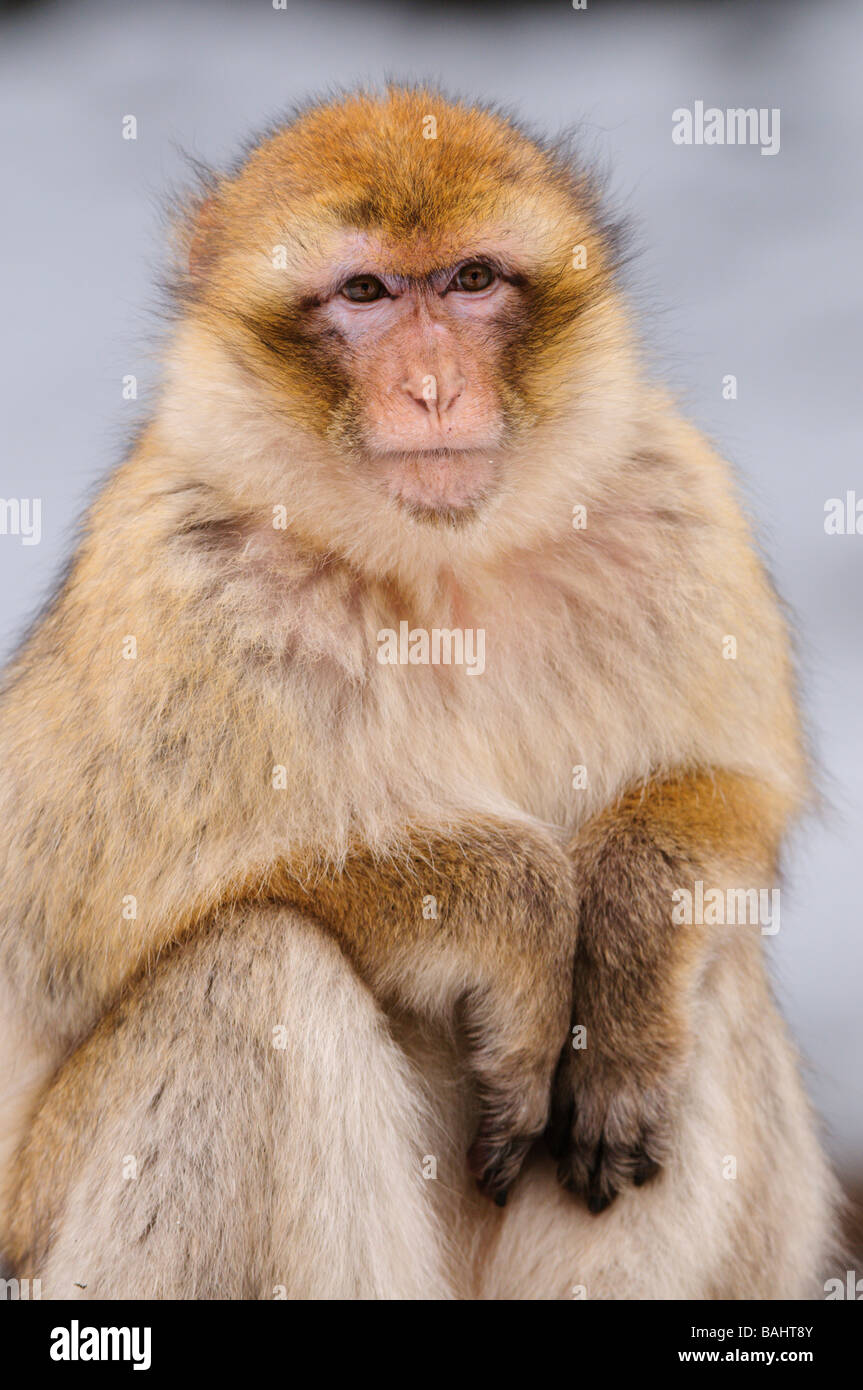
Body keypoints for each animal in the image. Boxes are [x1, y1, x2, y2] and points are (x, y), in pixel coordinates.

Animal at [0, 85, 839, 1300]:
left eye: (471, 279)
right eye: (364, 293)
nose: (434, 385)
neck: (443, 566)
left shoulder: (675, 499)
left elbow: (730, 790)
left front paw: (626, 933)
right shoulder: (173, 585)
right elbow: (79, 928)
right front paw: (523, 921)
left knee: (716, 965)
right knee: (253, 971)